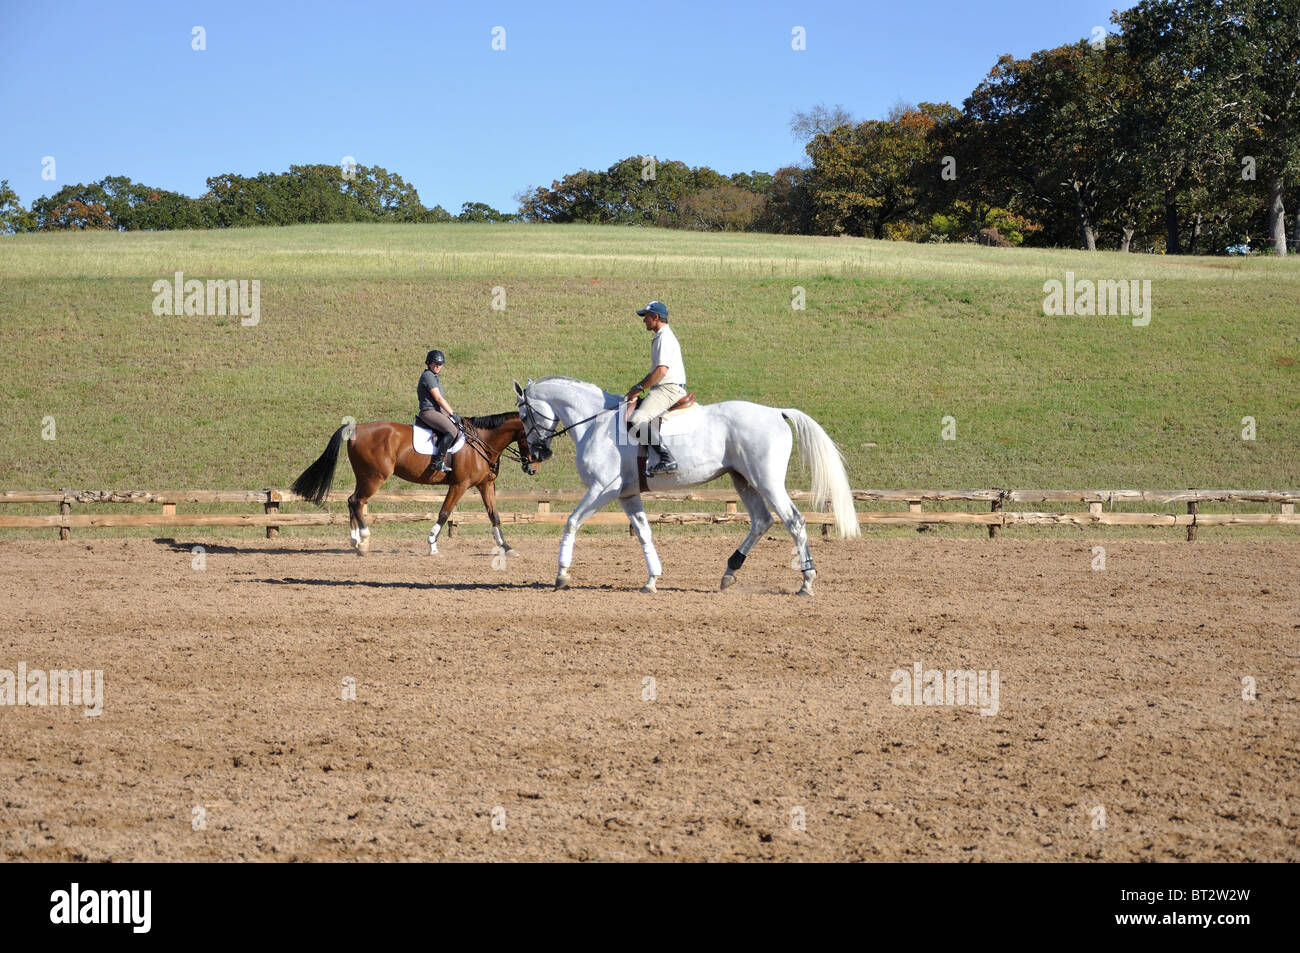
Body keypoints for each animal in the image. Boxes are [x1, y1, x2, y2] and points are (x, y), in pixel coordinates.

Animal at [291, 412, 538, 555]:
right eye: (534, 438)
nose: (532, 469)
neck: (482, 441)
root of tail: (356, 428)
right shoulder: (459, 485)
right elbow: (444, 513)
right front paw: (432, 545)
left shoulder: (485, 485)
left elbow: (494, 515)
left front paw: (506, 547)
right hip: (375, 477)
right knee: (356, 501)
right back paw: (364, 541)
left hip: (365, 476)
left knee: (353, 501)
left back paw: (356, 541)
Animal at [513, 377, 859, 595]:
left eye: (524, 415)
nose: (535, 459)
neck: (594, 423)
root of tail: (775, 412)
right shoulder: (627, 494)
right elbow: (644, 533)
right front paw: (652, 580)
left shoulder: (602, 489)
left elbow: (571, 522)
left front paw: (561, 575)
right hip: (743, 479)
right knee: (761, 521)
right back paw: (729, 572)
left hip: (767, 481)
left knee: (794, 521)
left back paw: (806, 582)